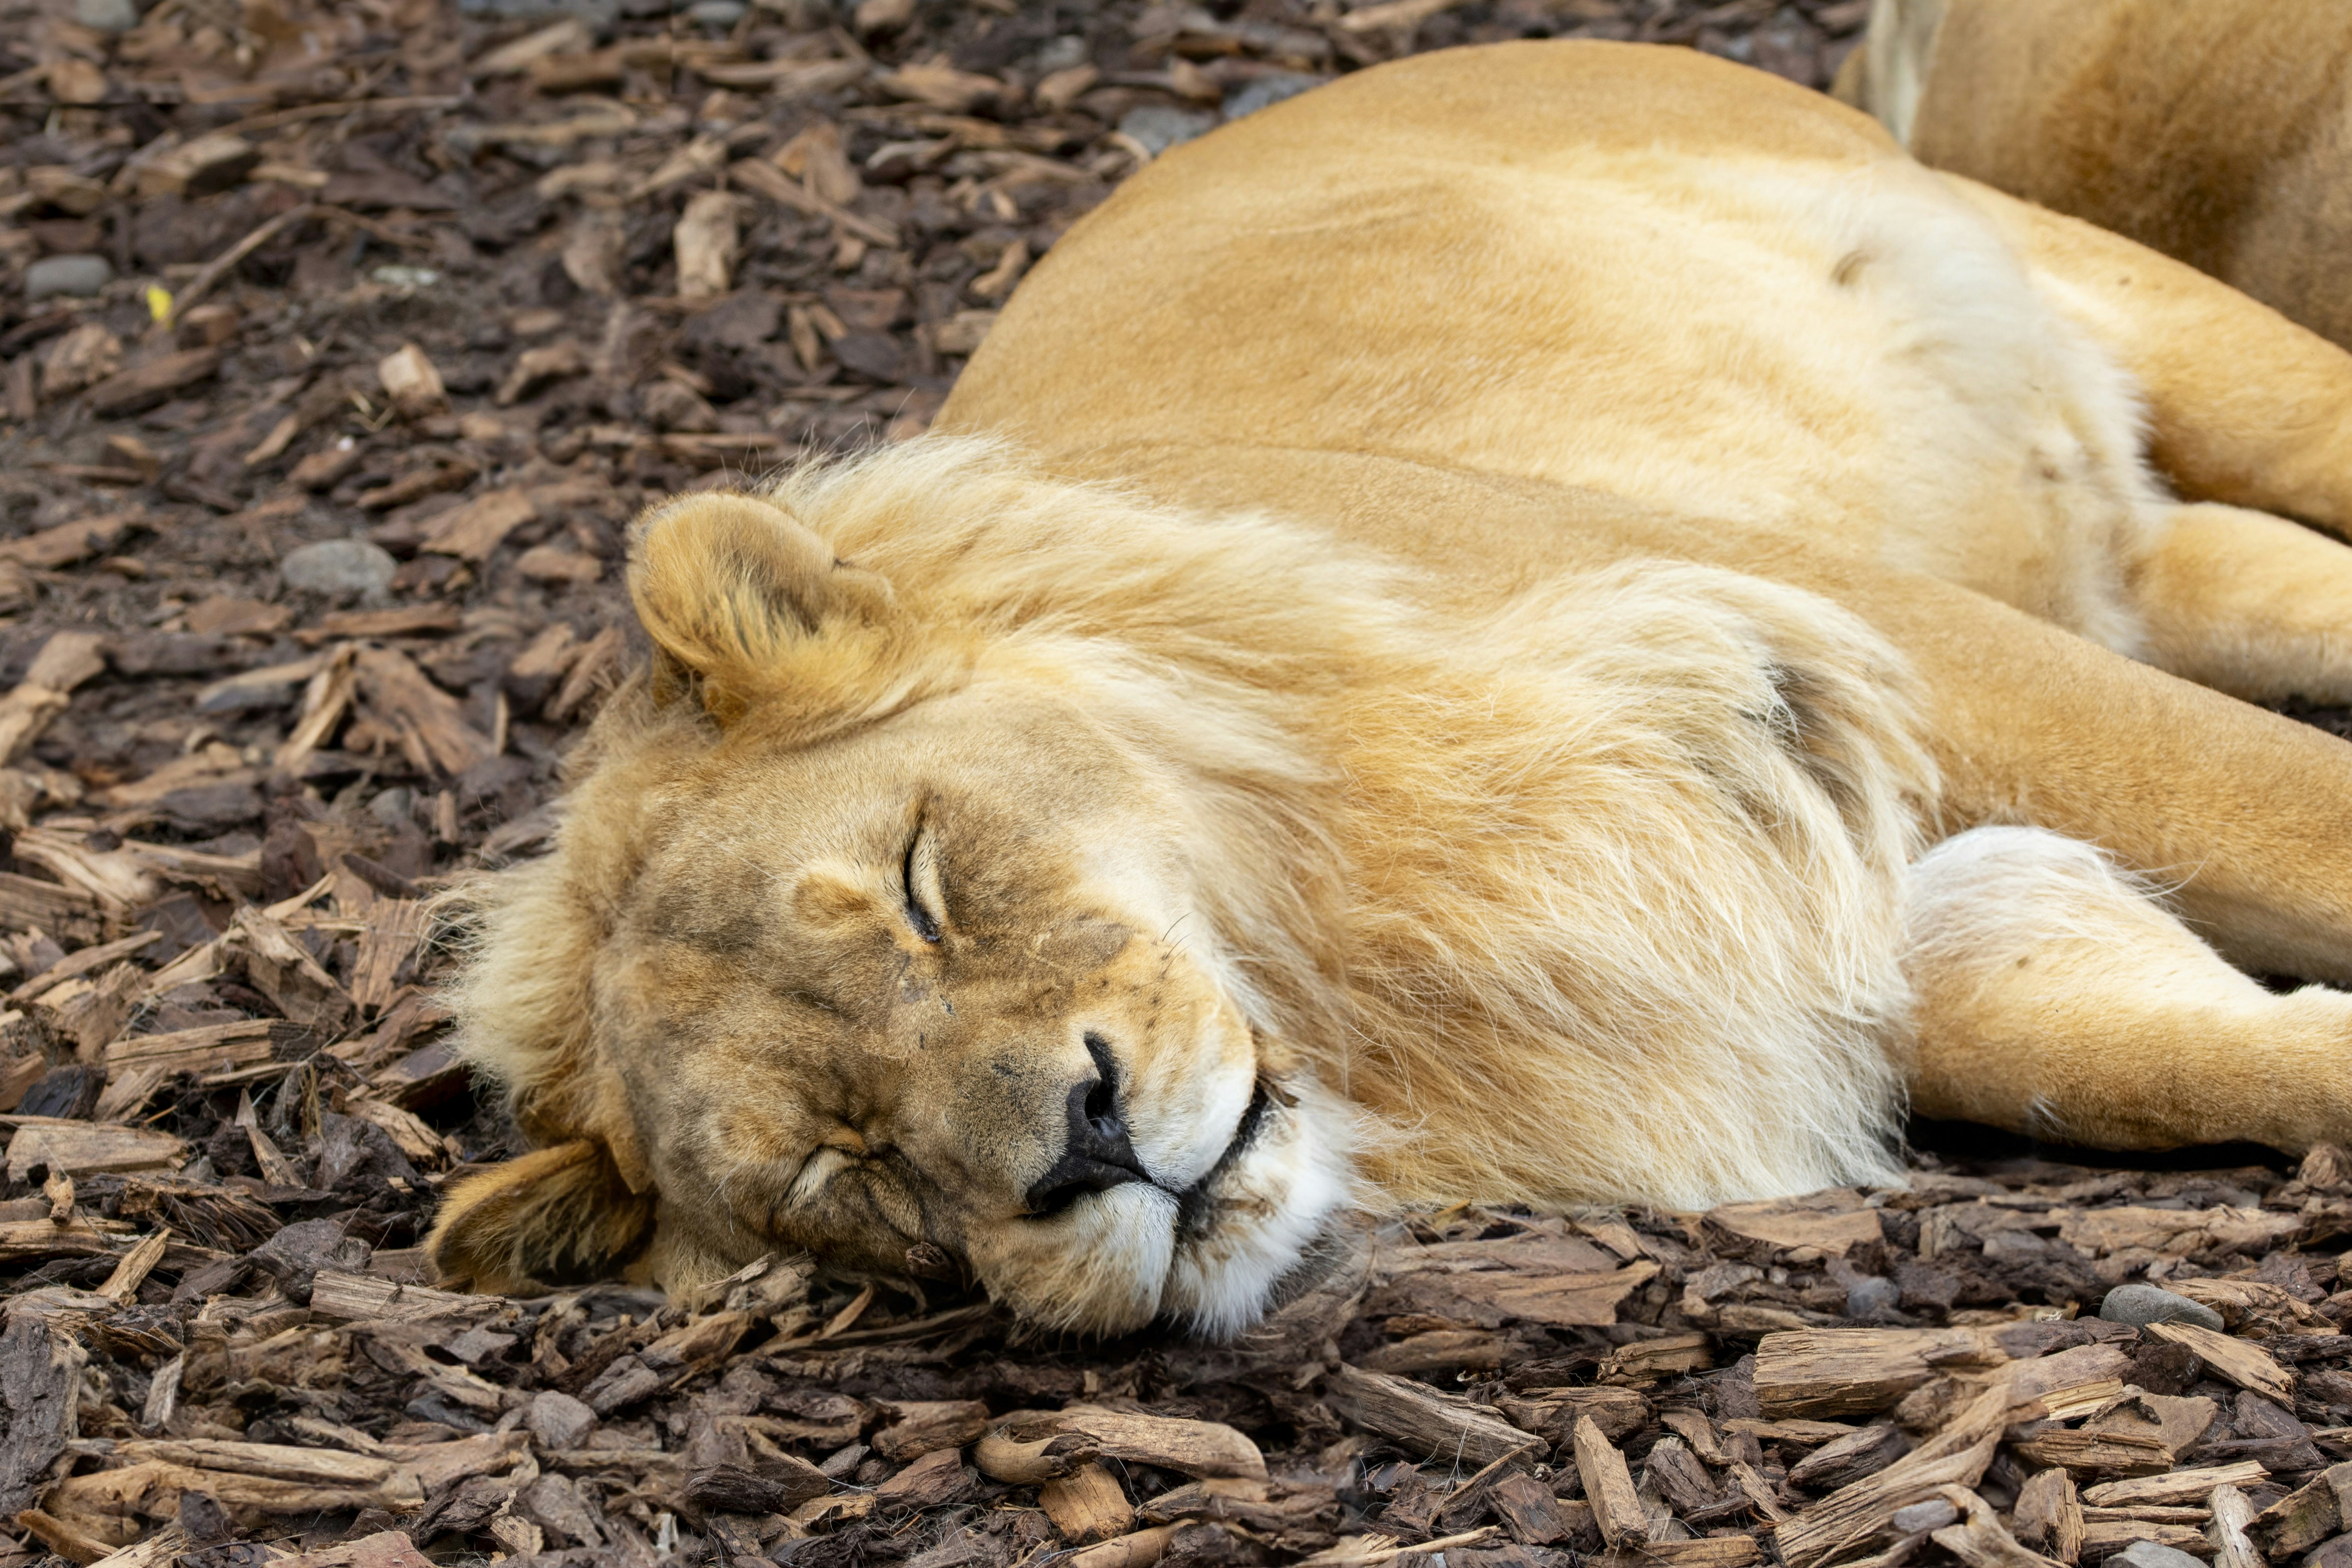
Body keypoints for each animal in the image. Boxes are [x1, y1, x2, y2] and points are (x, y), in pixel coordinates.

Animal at [428, 41, 2352, 1335]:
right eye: (842, 1170)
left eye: (920, 880)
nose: (1086, 1149)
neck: (1351, 974)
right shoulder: (1822, 937)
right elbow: (2140, 1054)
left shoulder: (1883, 653)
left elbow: (2283, 812)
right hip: (2136, 560)